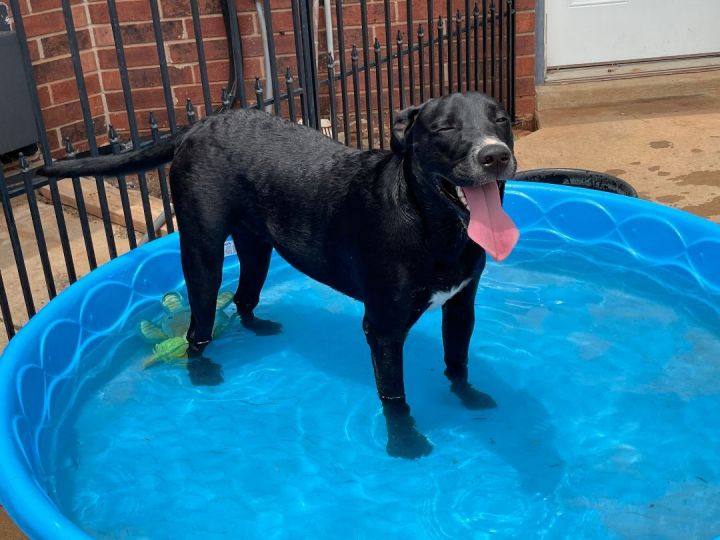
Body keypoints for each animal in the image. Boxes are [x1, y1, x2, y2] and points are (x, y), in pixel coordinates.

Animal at [40, 90, 516, 458]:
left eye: (502, 119)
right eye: (445, 128)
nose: (495, 154)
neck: (432, 225)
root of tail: (203, 124)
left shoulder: (461, 305)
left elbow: (458, 363)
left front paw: (468, 399)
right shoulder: (383, 328)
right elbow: (394, 398)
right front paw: (405, 442)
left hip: (256, 246)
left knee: (243, 297)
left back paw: (258, 327)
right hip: (203, 255)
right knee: (199, 328)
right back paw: (202, 373)